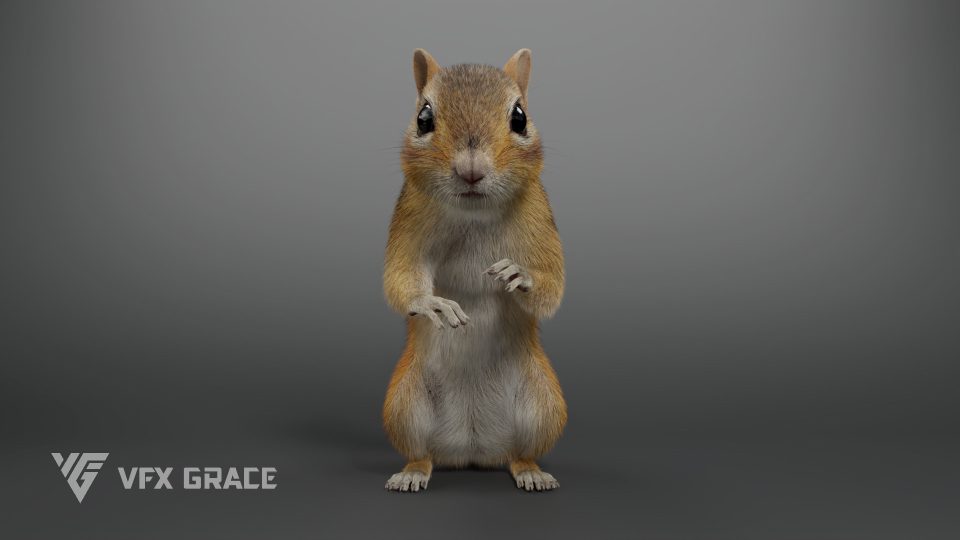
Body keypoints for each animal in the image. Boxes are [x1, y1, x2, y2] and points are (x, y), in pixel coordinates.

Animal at [382, 48, 566, 493]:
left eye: (520, 117)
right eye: (423, 118)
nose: (470, 169)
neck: (474, 213)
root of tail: (472, 450)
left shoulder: (540, 221)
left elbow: (553, 283)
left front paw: (522, 275)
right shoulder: (408, 221)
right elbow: (400, 273)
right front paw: (430, 303)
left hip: (544, 404)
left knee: (522, 452)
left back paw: (531, 472)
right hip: (403, 405)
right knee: (421, 453)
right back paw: (412, 473)